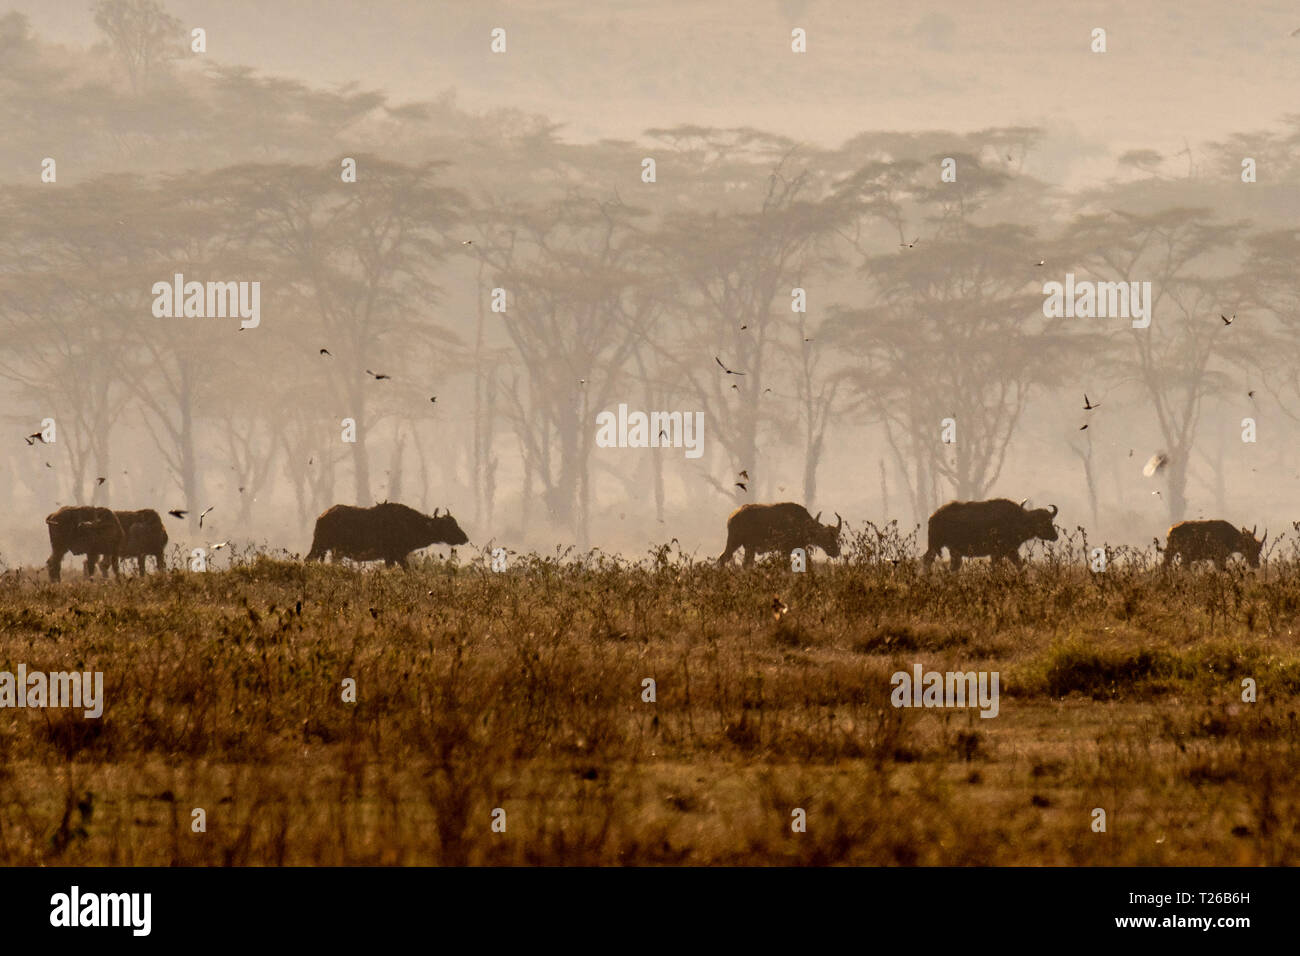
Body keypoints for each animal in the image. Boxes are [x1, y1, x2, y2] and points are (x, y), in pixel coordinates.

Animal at [306, 501, 469, 568]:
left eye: (455, 523)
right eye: (449, 526)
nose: (465, 538)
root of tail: (321, 517)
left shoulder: (397, 556)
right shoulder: (393, 555)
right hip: (321, 546)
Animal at [923, 498, 1058, 570]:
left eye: (1050, 520)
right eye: (1041, 522)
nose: (1055, 536)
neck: (1016, 520)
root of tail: (934, 516)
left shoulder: (1009, 551)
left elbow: (1018, 565)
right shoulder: (1000, 552)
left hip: (953, 551)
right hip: (935, 544)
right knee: (927, 559)